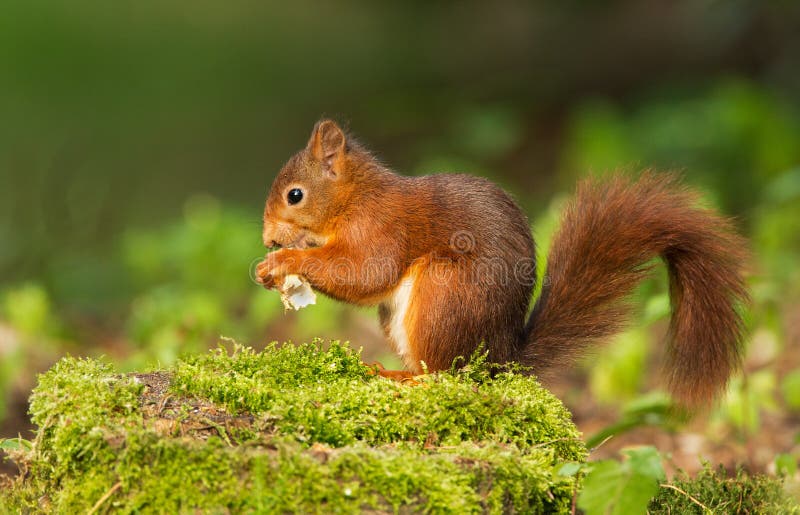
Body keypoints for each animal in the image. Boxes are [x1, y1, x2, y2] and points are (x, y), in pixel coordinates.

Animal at [256, 119, 749, 406]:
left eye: (295, 195)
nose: (266, 239)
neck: (353, 199)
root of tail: (499, 359)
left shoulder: (380, 230)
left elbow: (364, 273)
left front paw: (285, 261)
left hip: (444, 294)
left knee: (449, 377)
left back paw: (404, 380)